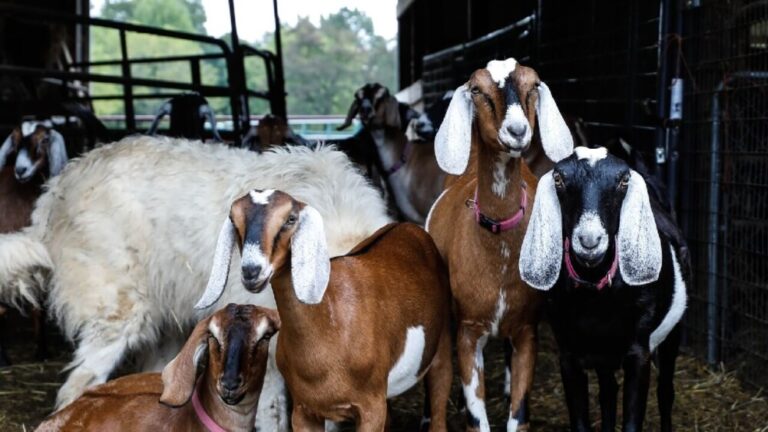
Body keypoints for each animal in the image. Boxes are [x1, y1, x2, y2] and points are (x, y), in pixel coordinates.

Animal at [196, 189, 453, 431]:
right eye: (234, 218)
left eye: (290, 219)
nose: (251, 271)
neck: (331, 324)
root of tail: (406, 226)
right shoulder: (304, 410)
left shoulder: (371, 408)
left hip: (440, 349)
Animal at [426, 58, 573, 432]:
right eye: (476, 89)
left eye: (533, 85)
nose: (517, 131)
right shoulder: (468, 331)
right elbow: (476, 419)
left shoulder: (527, 330)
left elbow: (518, 417)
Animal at [519, 147, 688, 432]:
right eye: (558, 179)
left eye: (623, 181)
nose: (590, 240)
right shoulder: (569, 353)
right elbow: (581, 419)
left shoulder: (638, 352)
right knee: (609, 391)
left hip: (673, 332)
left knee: (666, 392)